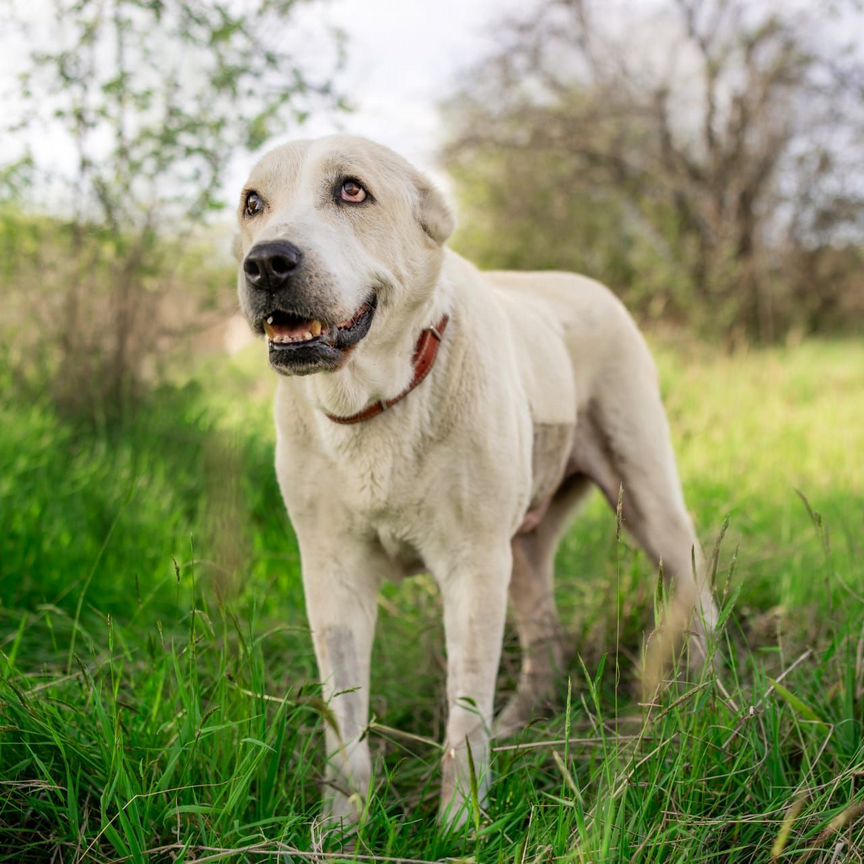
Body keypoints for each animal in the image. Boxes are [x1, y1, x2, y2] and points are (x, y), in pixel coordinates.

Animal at [235, 133, 716, 824]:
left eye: (352, 190)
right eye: (253, 204)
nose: (267, 262)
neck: (379, 403)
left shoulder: (474, 567)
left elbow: (464, 716)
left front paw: (460, 825)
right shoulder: (332, 573)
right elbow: (343, 719)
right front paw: (341, 826)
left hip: (648, 502)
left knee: (697, 593)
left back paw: (701, 698)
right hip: (525, 548)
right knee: (546, 641)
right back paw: (520, 721)